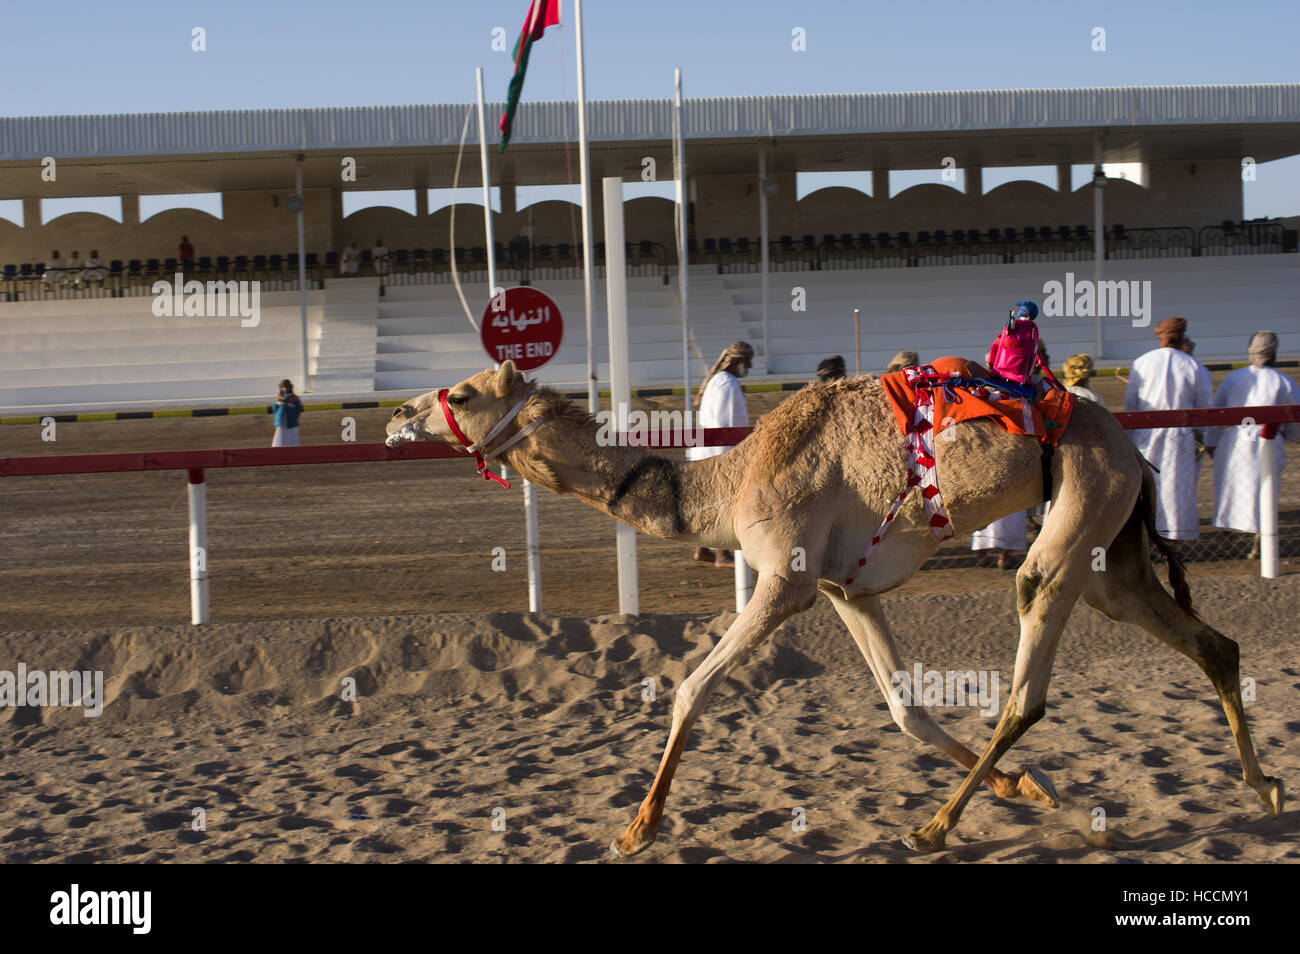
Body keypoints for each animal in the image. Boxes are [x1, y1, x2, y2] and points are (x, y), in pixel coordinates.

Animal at [385, 359, 1283, 857]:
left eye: (461, 393)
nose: (395, 415)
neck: (722, 482)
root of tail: (1132, 443)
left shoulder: (783, 578)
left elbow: (691, 687)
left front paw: (637, 829)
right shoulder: (843, 589)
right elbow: (905, 711)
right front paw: (1026, 791)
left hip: (1078, 510)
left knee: (1029, 667)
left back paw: (933, 829)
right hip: (1110, 551)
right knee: (1210, 642)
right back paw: (1264, 786)